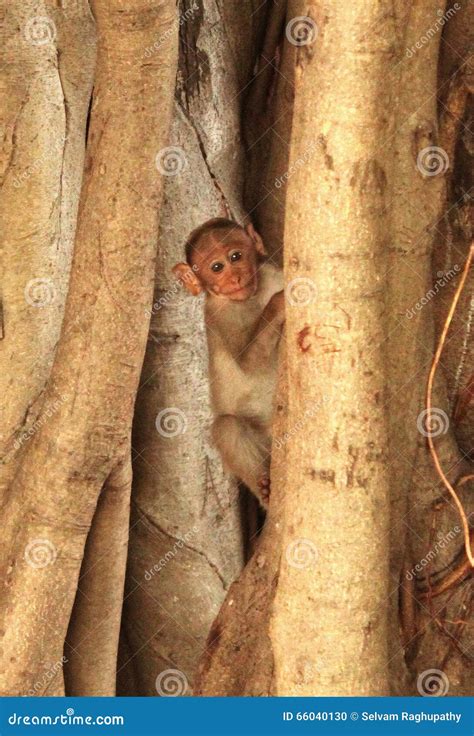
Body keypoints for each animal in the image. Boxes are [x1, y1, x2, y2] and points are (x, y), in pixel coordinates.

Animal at [173, 218, 284, 508]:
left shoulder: (270, 273)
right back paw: (266, 490)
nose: (234, 278)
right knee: (227, 428)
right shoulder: (220, 314)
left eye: (236, 256)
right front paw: (280, 302)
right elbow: (249, 363)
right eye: (216, 267)